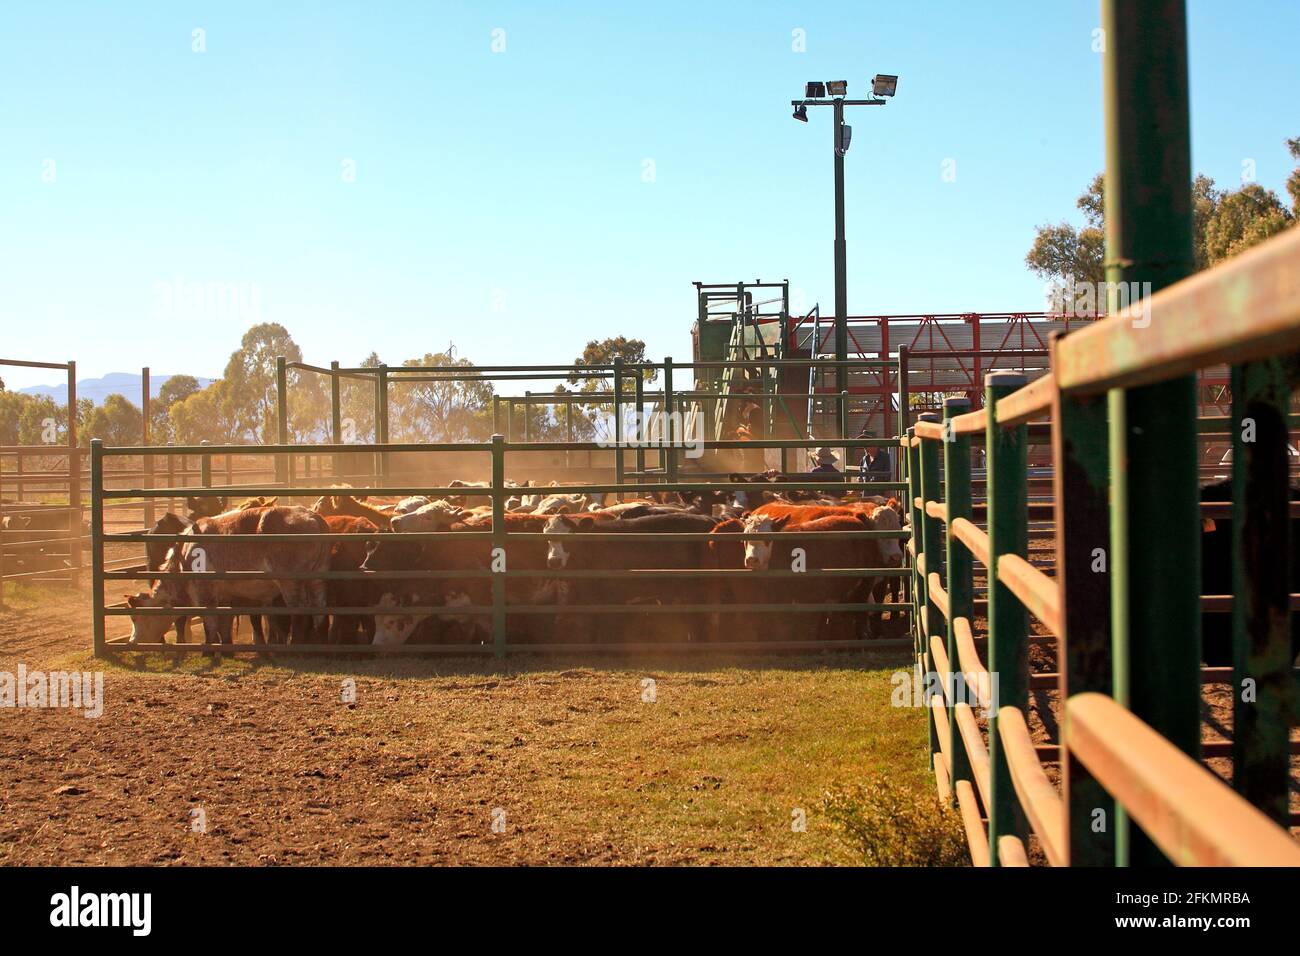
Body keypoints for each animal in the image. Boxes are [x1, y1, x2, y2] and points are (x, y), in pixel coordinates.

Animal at [126, 504, 330, 647]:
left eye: (136, 618)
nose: (131, 641)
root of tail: (313, 517)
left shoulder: (204, 593)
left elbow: (210, 624)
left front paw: (208, 649)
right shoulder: (224, 596)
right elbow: (224, 623)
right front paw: (226, 646)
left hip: (290, 581)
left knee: (300, 612)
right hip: (317, 578)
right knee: (320, 609)